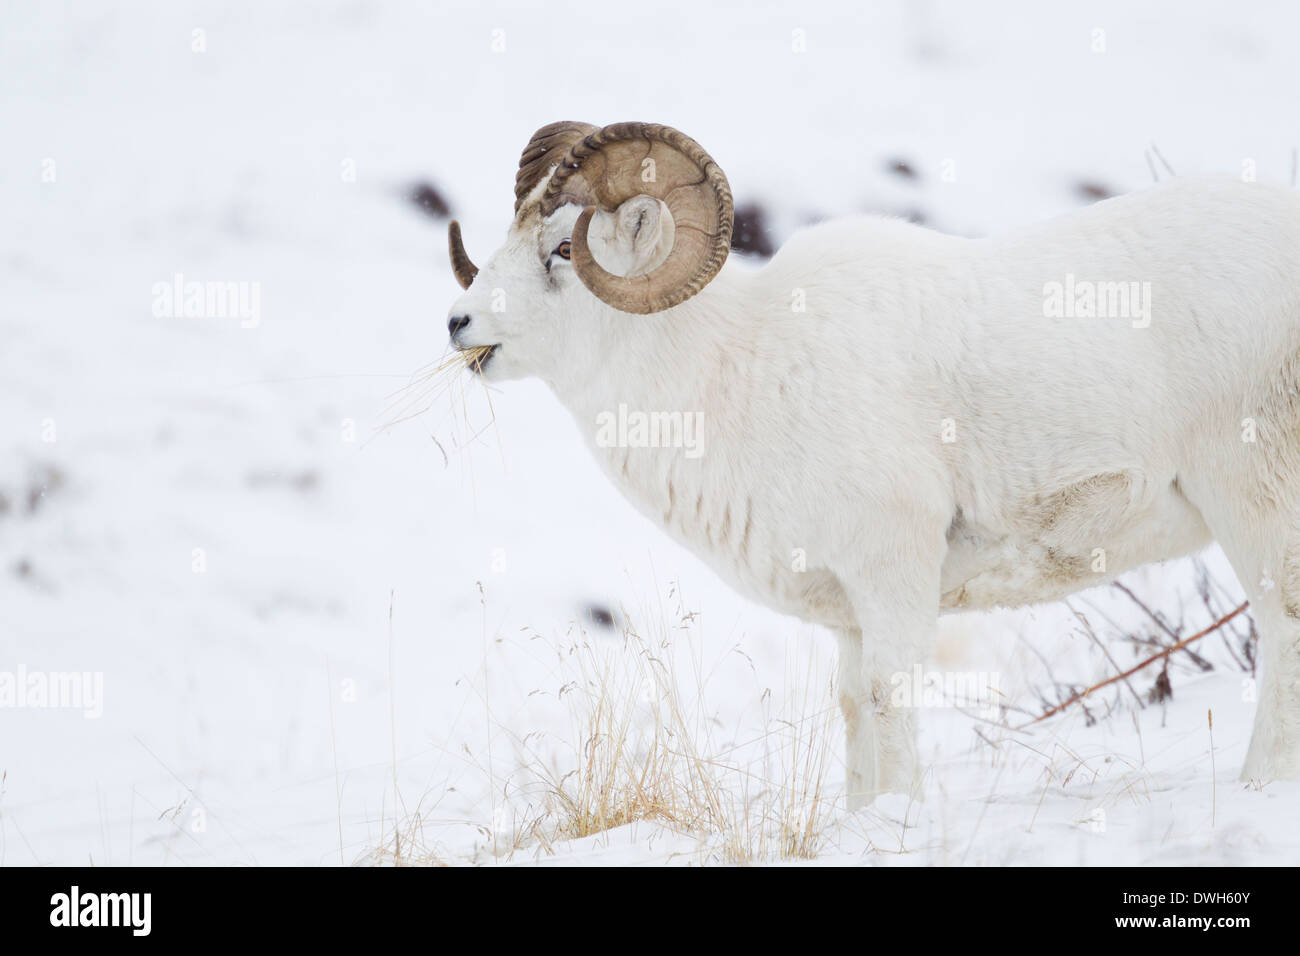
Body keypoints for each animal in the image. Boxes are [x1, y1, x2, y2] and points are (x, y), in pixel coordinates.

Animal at [445, 121, 1300, 809]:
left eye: (562, 248)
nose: (458, 324)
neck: (737, 372)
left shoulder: (895, 572)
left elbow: (894, 694)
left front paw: (902, 815)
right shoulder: (849, 612)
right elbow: (857, 706)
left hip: (1251, 499)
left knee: (1281, 627)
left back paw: (1259, 785)